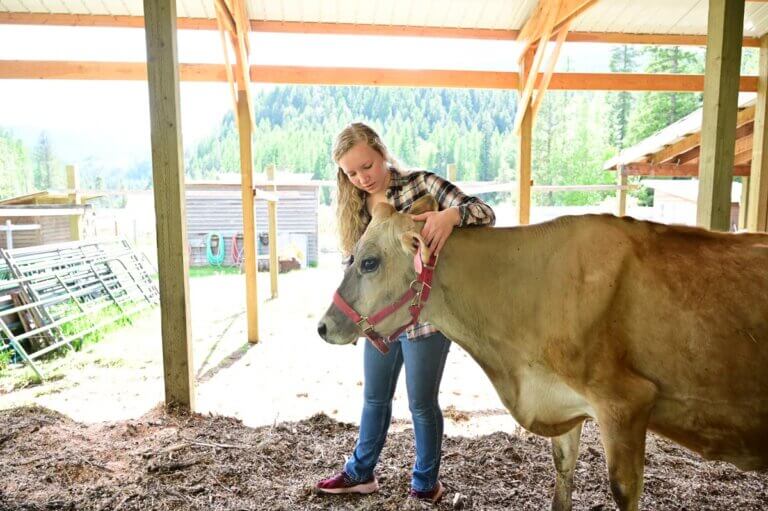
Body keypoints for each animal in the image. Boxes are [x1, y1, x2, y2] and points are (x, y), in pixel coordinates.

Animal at [317, 195, 768, 511]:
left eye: (369, 262)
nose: (323, 326)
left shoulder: (625, 403)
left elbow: (623, 489)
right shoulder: (563, 402)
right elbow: (562, 475)